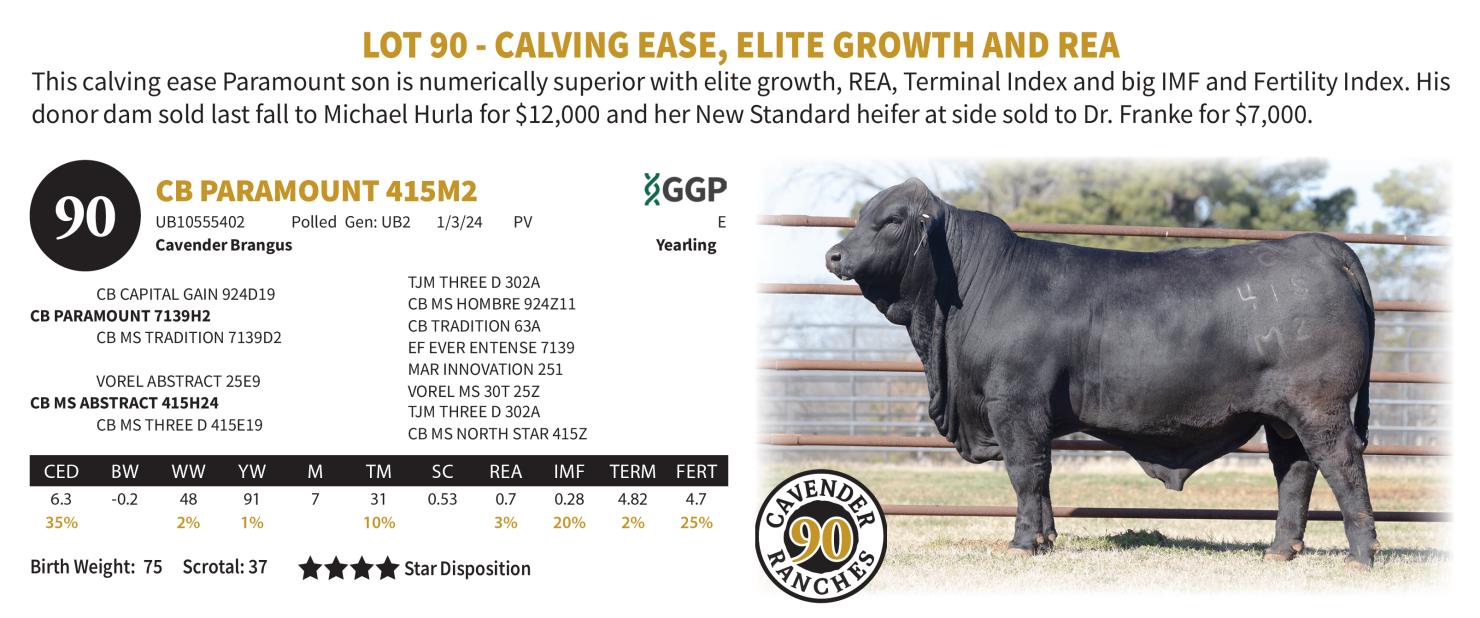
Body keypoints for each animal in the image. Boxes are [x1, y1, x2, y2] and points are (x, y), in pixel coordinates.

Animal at [824, 178, 1381, 567]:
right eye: (861, 216)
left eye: (892, 220)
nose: (835, 254)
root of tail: (1316, 246)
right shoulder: (1033, 414)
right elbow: (1043, 477)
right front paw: (1045, 538)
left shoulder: (1014, 403)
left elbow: (1026, 472)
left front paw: (1022, 543)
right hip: (1283, 417)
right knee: (1296, 471)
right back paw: (1280, 550)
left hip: (1319, 406)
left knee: (1341, 463)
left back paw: (1361, 553)